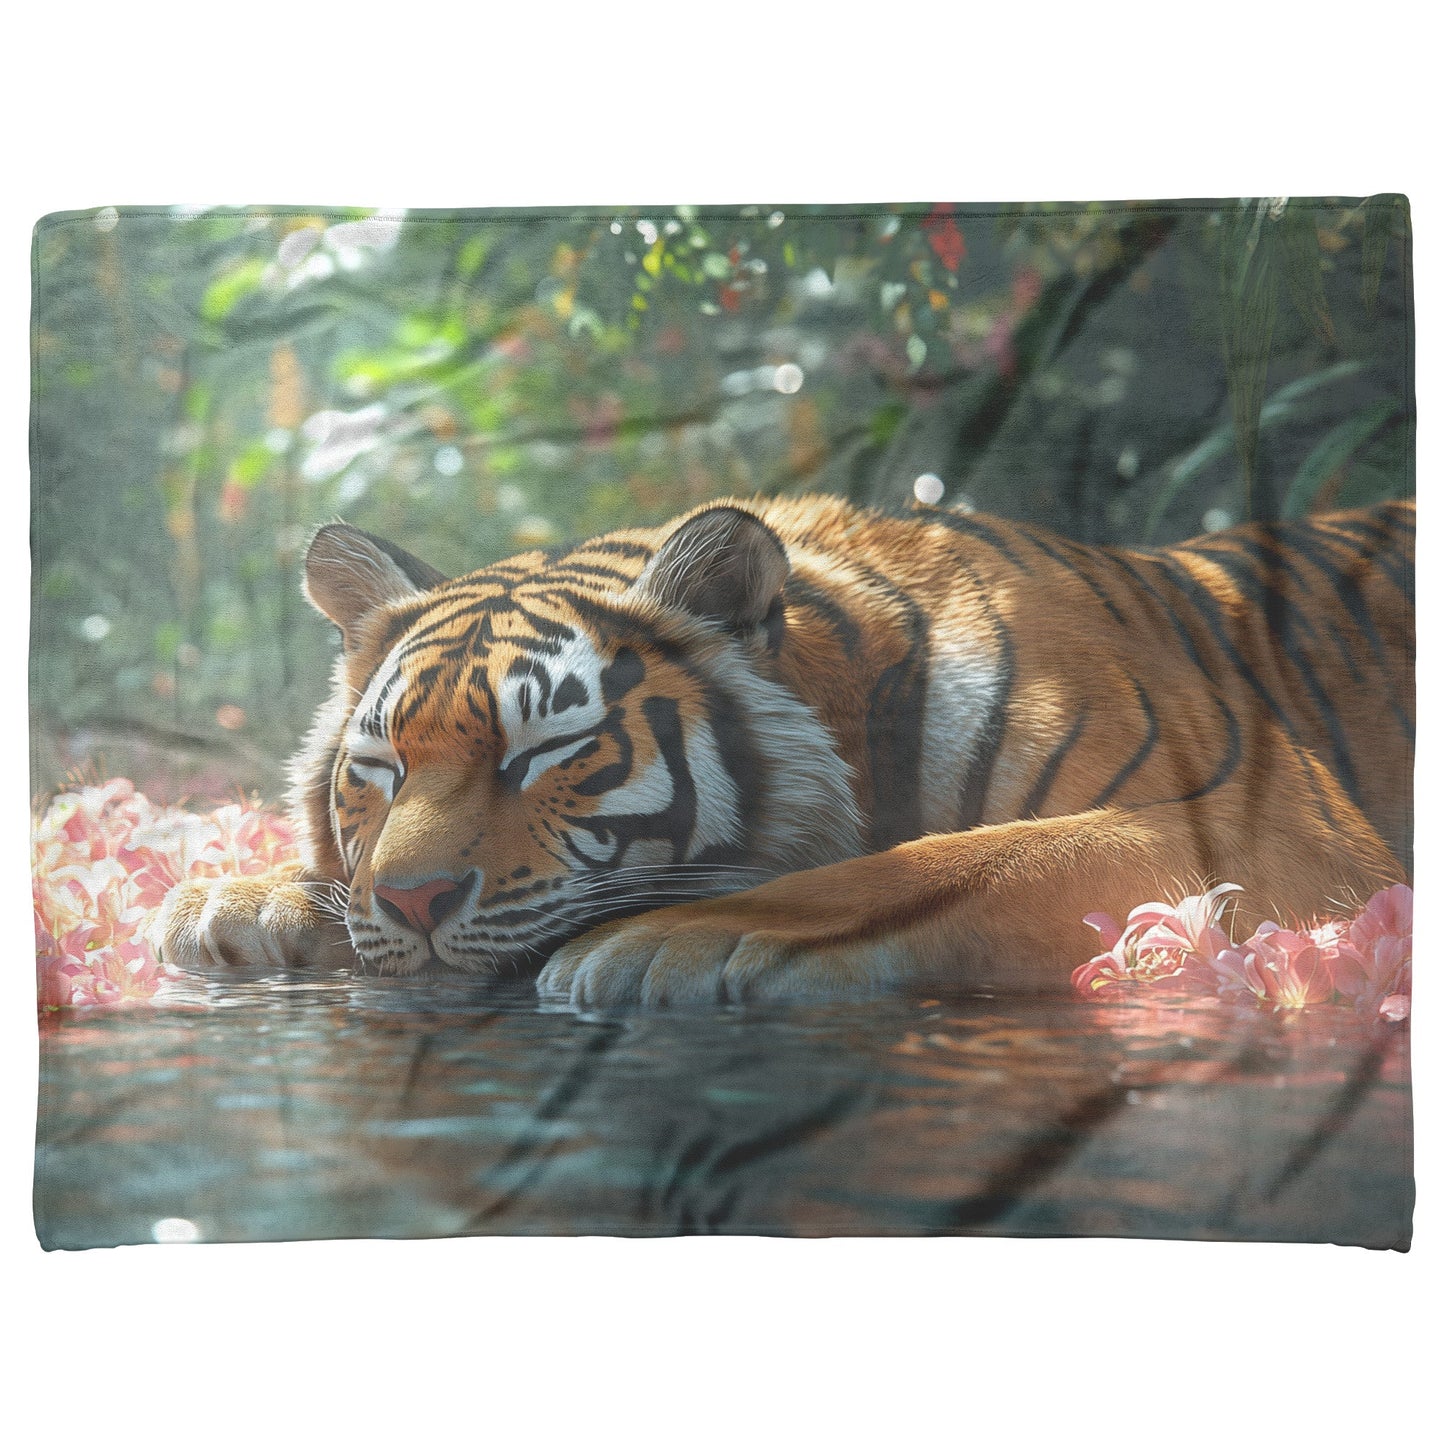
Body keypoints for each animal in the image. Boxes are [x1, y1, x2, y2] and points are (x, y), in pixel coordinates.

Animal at [157, 494, 1414, 1007]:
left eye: (541, 752)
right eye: (378, 770)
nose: (412, 901)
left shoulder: (1275, 816)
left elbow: (962, 861)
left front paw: (663, 942)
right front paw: (237, 900)